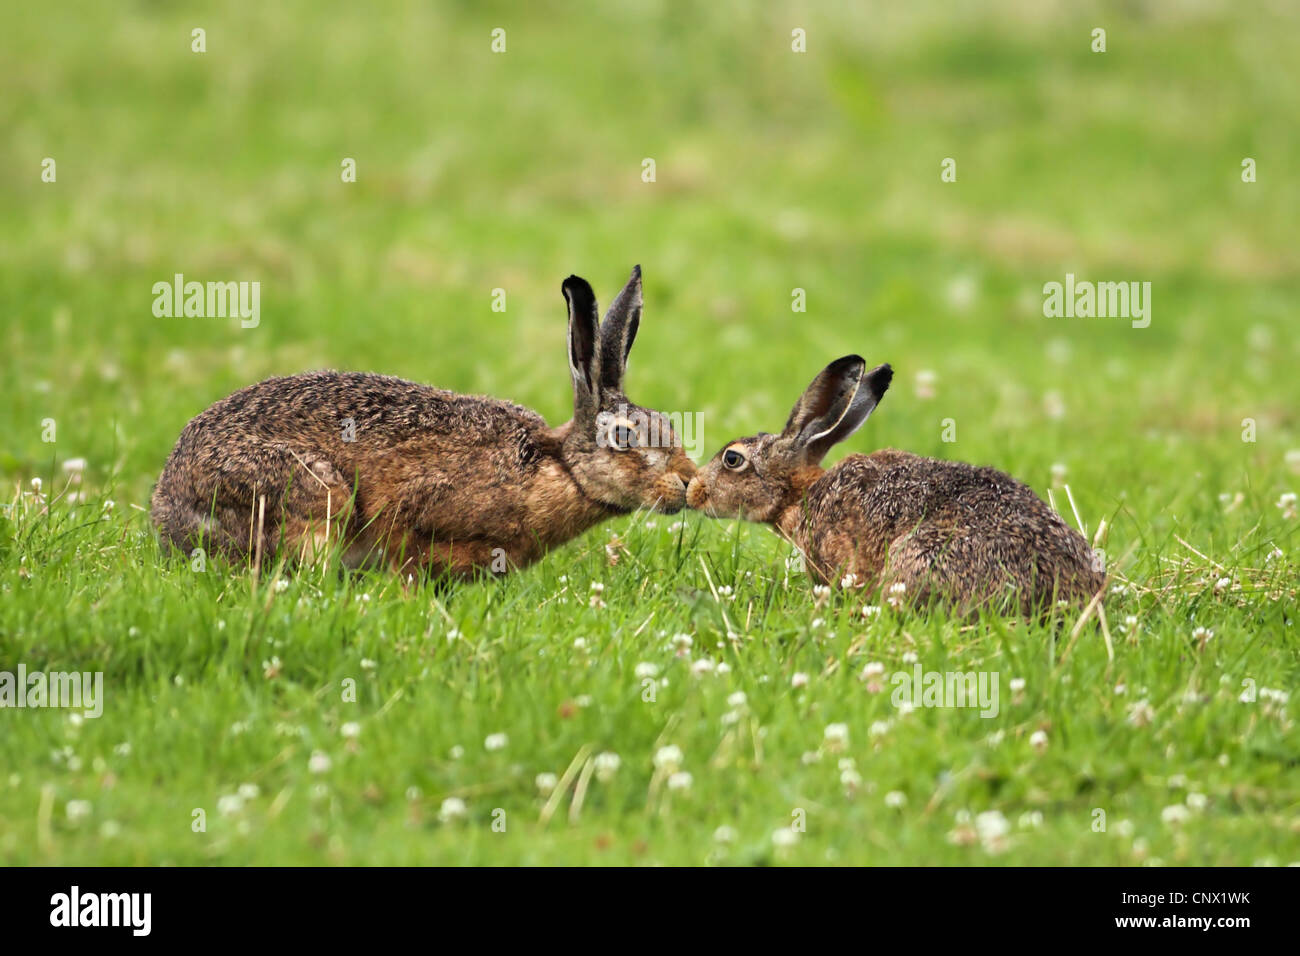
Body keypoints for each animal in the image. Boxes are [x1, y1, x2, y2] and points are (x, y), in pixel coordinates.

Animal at [150, 266, 697, 579]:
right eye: (623, 437)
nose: (690, 481)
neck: (556, 466)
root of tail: (169, 510)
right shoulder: (416, 511)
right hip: (312, 493)